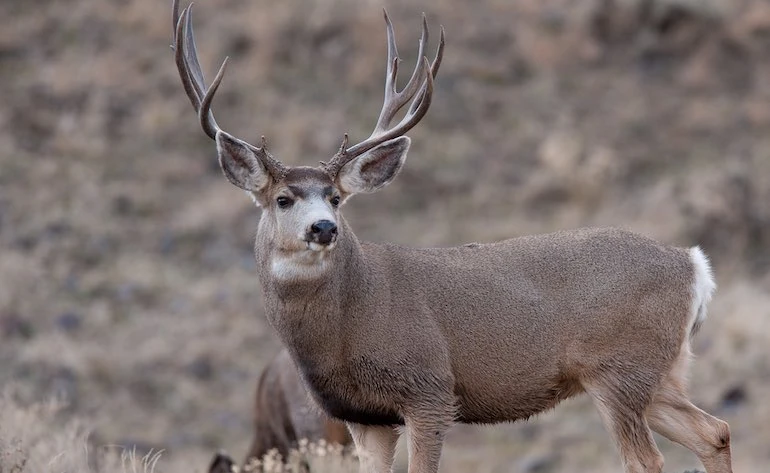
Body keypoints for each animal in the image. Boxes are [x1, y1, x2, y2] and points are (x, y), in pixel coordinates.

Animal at [170, 1, 733, 472]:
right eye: (283, 199)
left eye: (335, 197)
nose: (324, 228)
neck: (353, 318)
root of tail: (692, 265)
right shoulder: (365, 417)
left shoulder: (430, 390)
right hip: (658, 372)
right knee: (715, 430)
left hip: (619, 370)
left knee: (649, 460)